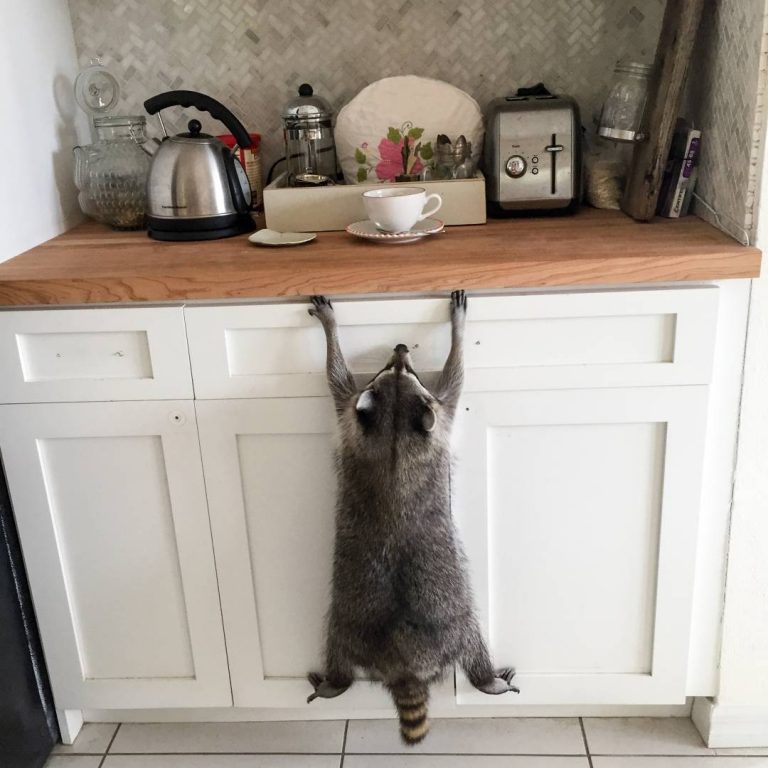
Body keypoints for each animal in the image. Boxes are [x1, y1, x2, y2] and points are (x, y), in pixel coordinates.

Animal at [306, 291, 518, 745]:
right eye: (393, 369)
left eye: (404, 368)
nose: (401, 347)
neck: (394, 428)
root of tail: (404, 663)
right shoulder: (366, 410)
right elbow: (453, 376)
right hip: (451, 622)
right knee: (473, 646)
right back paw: (485, 679)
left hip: (350, 626)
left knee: (338, 651)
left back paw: (335, 682)